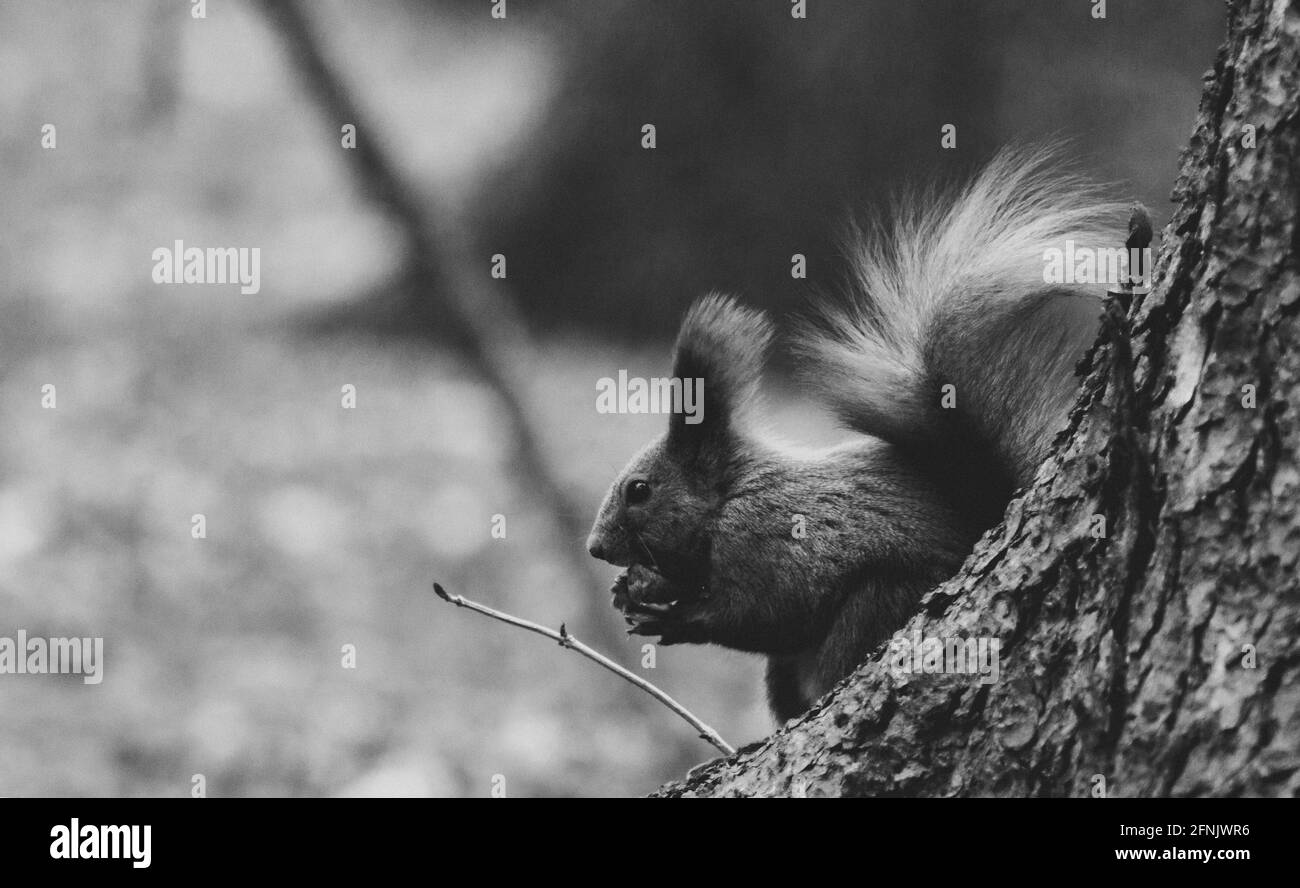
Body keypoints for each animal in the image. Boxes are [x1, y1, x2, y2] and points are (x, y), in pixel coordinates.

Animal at [586, 146, 1128, 723]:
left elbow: (760, 616)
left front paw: (674, 617)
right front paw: (632, 589)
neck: (730, 497)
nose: (595, 548)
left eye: (639, 490)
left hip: (883, 601)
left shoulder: (768, 546)